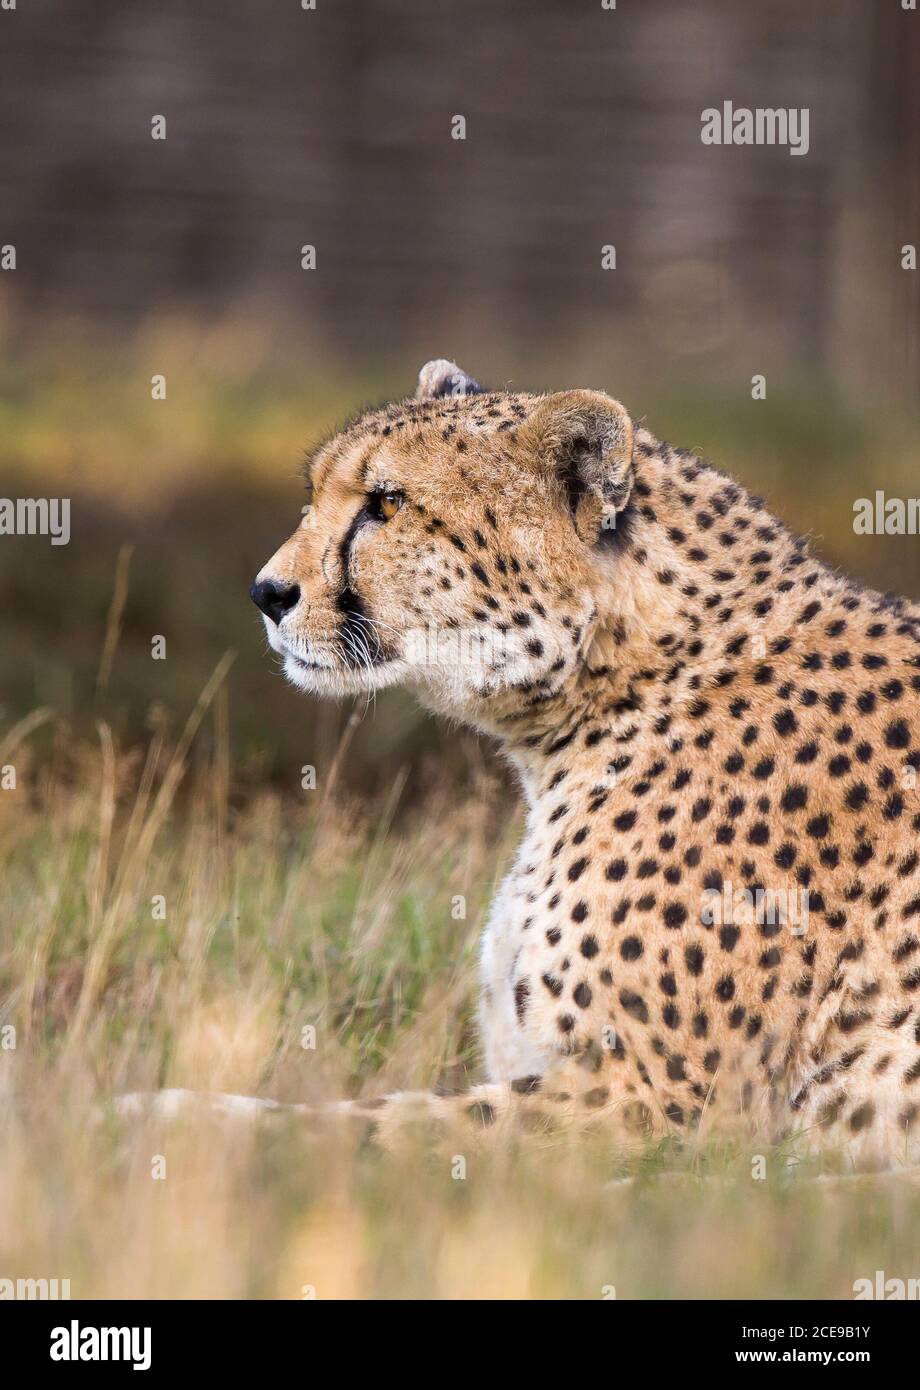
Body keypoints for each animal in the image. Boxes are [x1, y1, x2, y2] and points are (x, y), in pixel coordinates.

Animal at [240, 359, 920, 1166]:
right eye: (317, 492)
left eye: (387, 503)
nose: (267, 593)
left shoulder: (660, 1105)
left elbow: (365, 1123)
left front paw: (166, 1115)